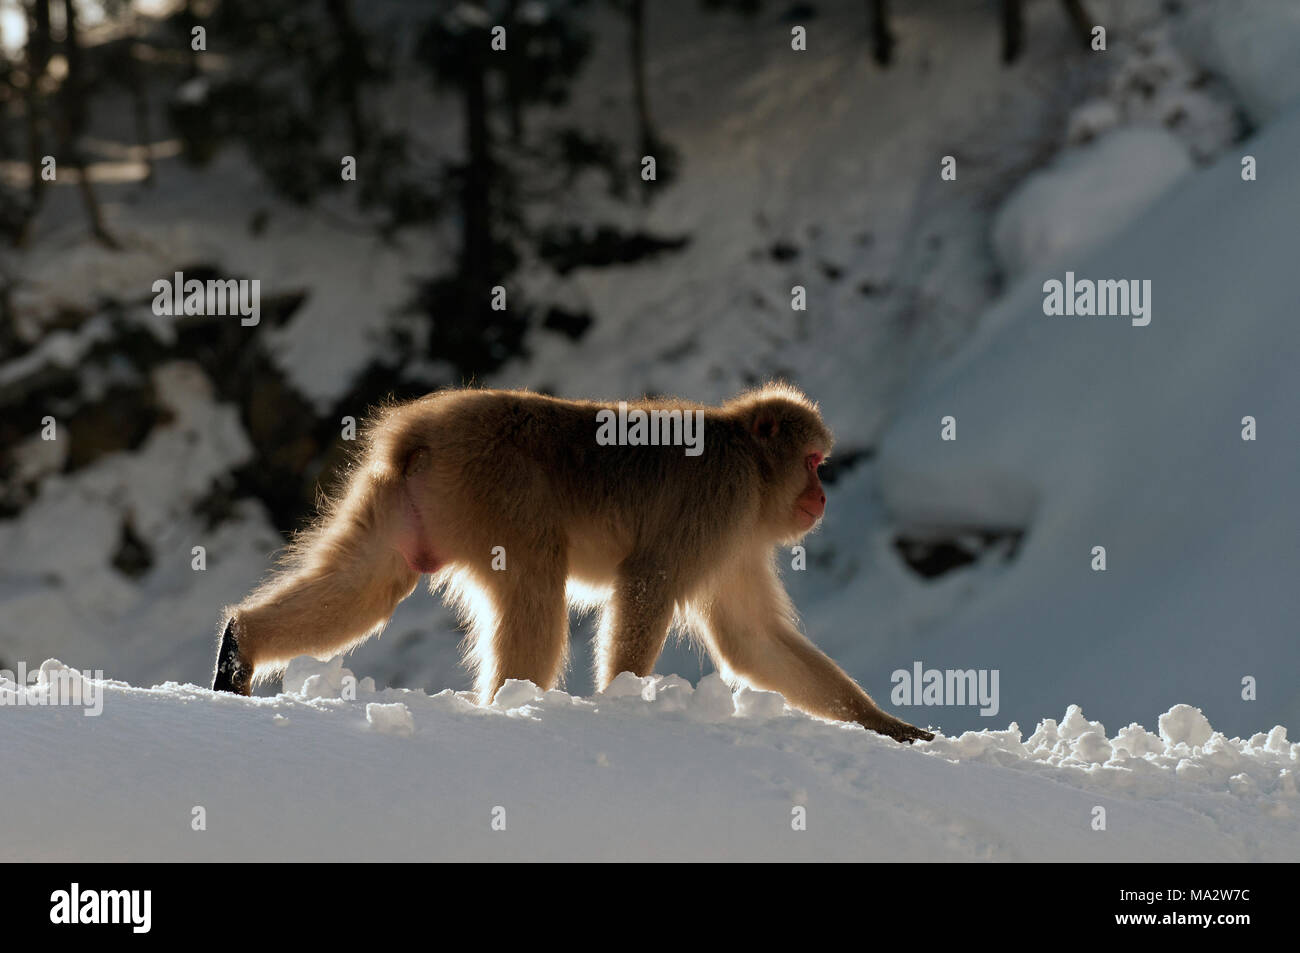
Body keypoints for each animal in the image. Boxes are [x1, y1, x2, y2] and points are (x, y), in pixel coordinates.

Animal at [212, 383, 934, 744]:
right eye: (813, 462)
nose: (821, 495)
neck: (752, 467)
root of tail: (419, 429)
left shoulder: (739, 541)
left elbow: (752, 640)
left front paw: (888, 727)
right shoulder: (721, 502)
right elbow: (647, 583)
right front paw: (624, 701)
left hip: (404, 498)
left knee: (368, 581)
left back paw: (241, 646)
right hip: (495, 486)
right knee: (537, 577)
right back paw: (516, 708)